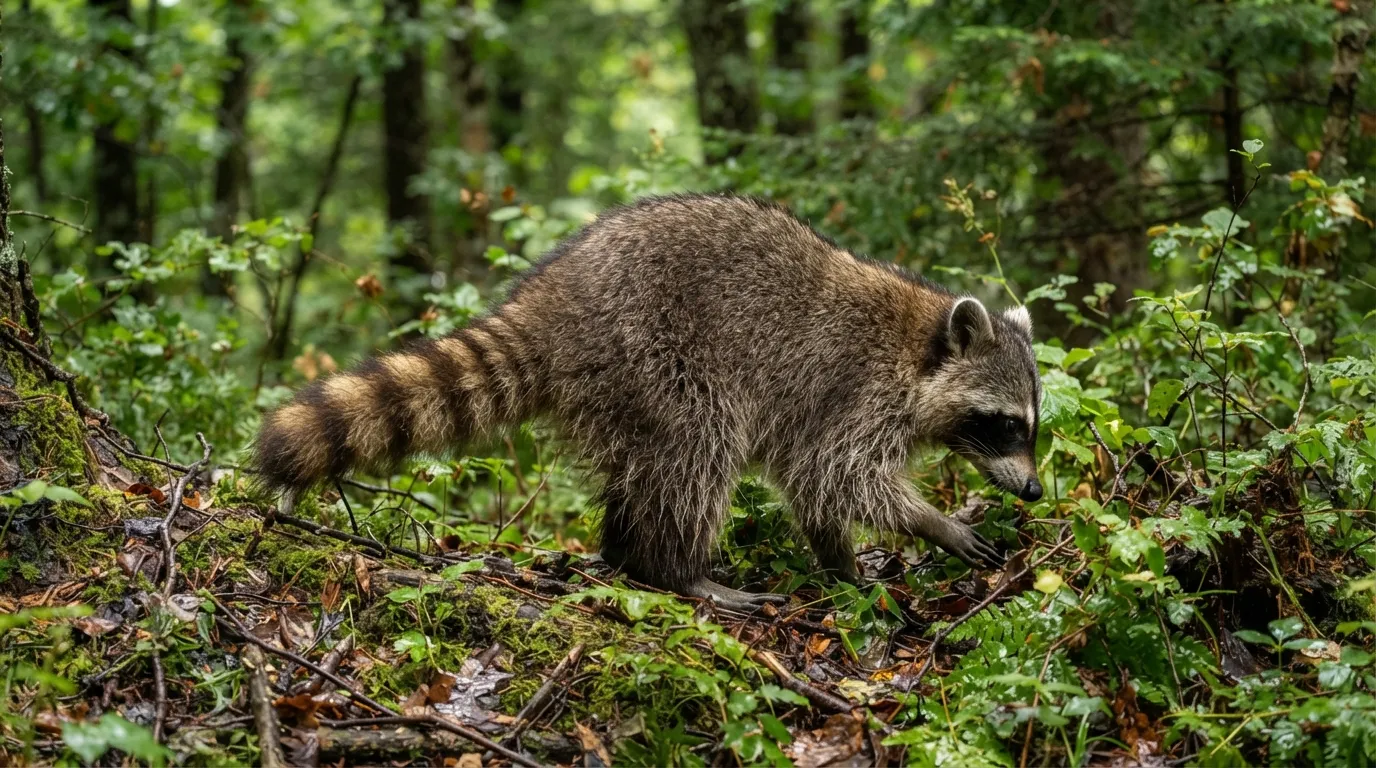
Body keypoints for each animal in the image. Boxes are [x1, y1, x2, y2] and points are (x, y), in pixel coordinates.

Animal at [253, 194, 1042, 610]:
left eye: (1034, 429)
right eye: (1004, 426)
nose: (1035, 490)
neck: (921, 343)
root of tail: (554, 293)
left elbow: (815, 488)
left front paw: (839, 563)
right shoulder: (854, 390)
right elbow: (836, 476)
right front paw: (931, 523)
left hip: (622, 381)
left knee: (650, 465)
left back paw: (627, 551)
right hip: (654, 351)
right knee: (697, 450)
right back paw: (676, 569)